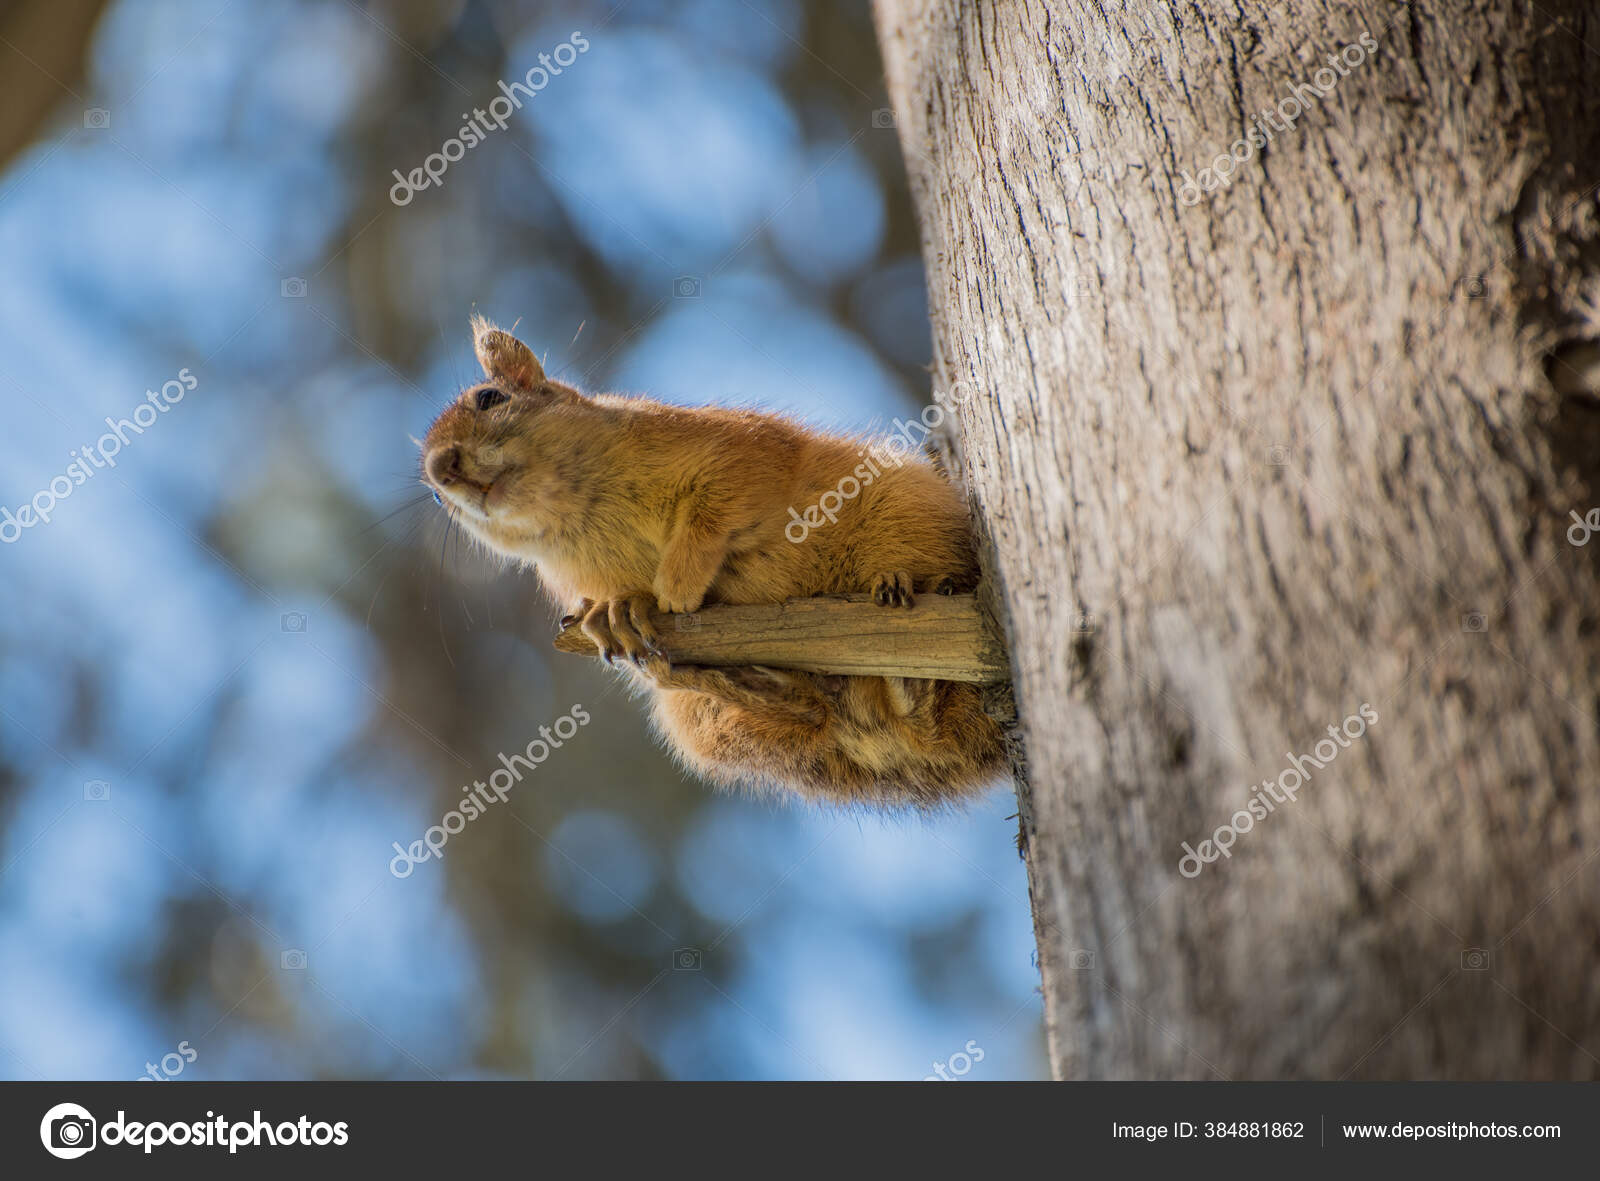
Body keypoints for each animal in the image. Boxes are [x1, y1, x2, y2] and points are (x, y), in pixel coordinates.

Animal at [420, 316, 1007, 807]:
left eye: (490, 397)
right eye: (433, 496)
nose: (440, 469)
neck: (583, 515)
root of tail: (878, 734)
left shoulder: (733, 450)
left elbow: (720, 505)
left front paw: (677, 581)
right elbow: (605, 597)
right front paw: (614, 610)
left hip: (904, 507)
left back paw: (908, 605)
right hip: (701, 722)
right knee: (809, 711)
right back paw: (739, 679)